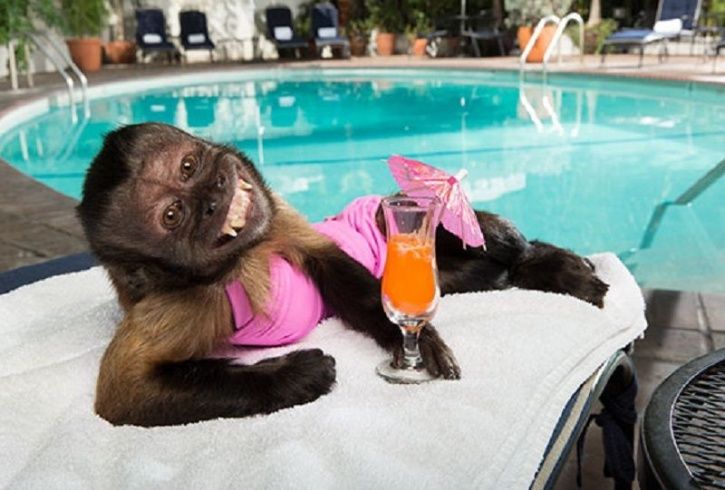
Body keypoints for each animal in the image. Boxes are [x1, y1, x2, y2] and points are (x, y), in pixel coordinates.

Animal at [77, 123, 608, 427]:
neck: (244, 257)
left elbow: (326, 262)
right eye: (174, 216)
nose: (213, 195)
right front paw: (294, 375)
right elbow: (123, 394)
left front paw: (417, 342)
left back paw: (532, 254)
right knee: (489, 273)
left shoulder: (276, 216)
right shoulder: (183, 300)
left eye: (189, 166)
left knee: (406, 220)